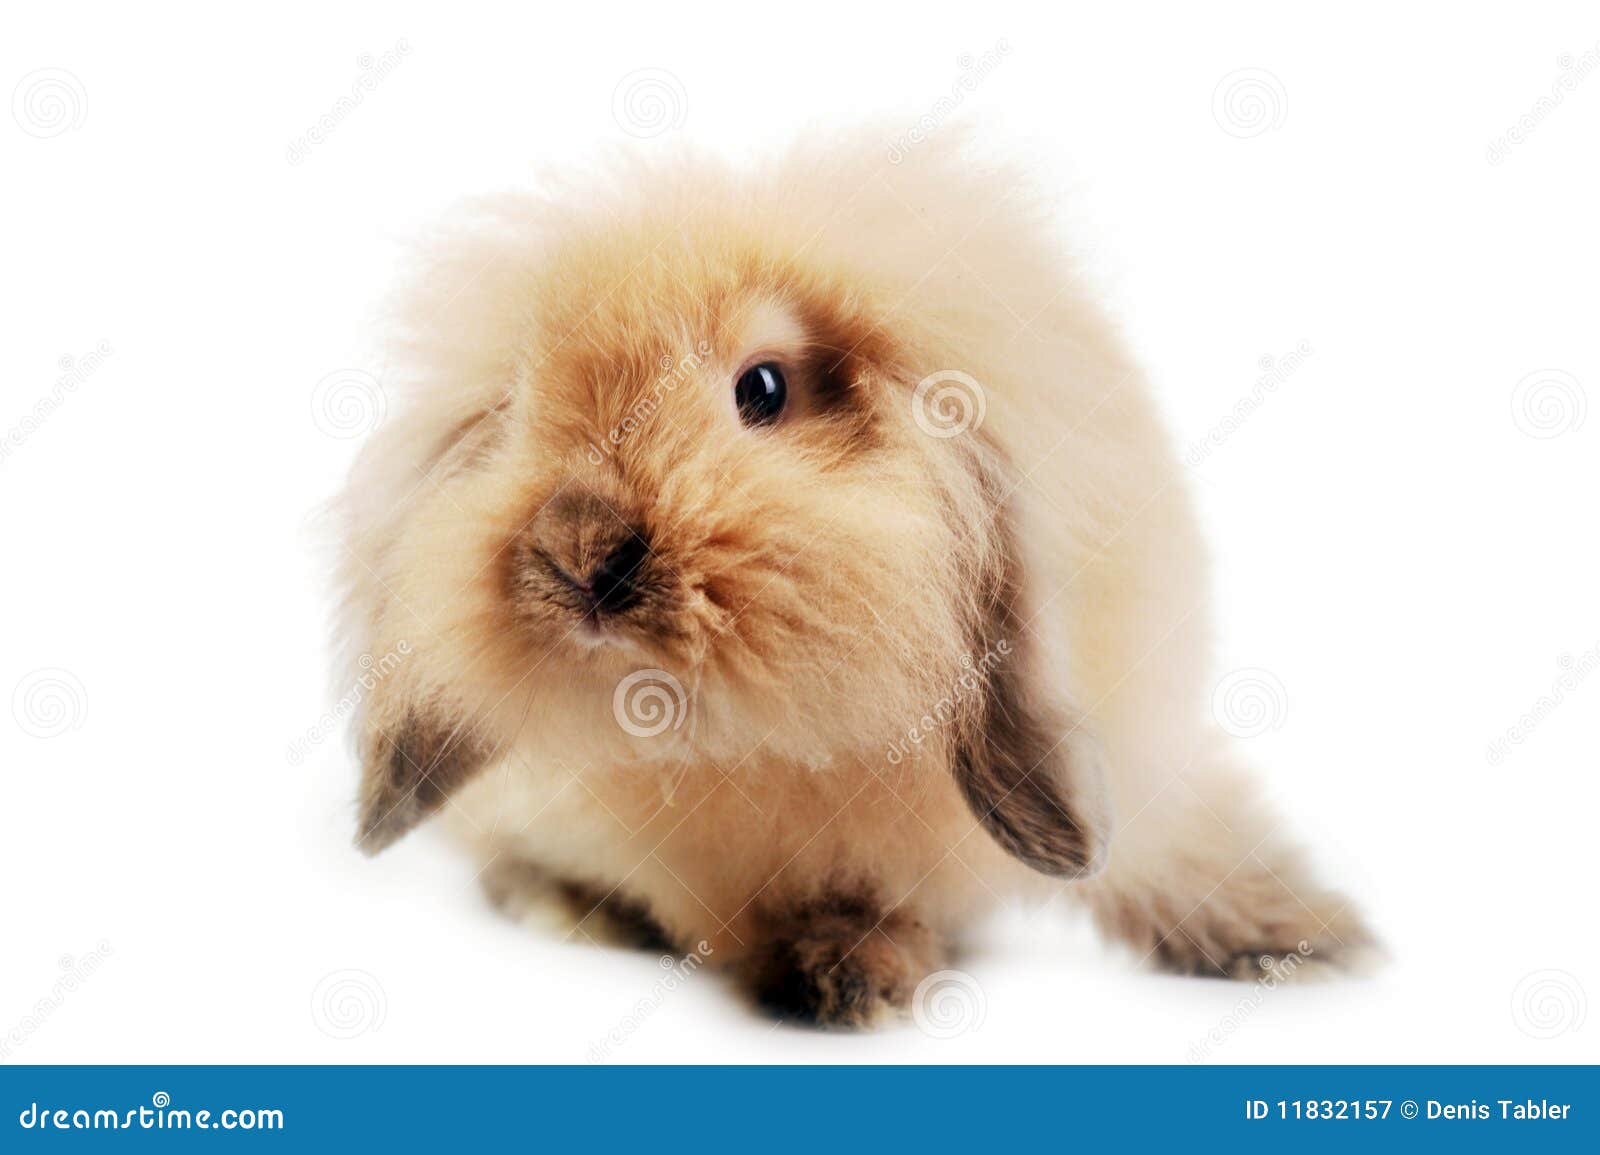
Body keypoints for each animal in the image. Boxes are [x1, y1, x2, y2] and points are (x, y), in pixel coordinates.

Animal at [334, 126, 1371, 1027]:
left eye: (762, 389)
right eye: (517, 410)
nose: (578, 546)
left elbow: (1180, 855)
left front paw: (1312, 943)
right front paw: (844, 977)